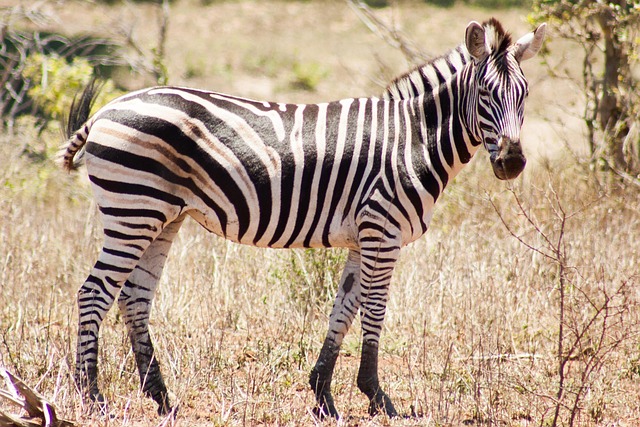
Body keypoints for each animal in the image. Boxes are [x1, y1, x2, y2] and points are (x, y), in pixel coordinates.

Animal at [61, 18, 546, 418]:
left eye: (524, 95)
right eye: (485, 95)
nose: (512, 162)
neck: (413, 139)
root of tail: (107, 109)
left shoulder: (362, 238)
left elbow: (342, 311)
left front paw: (323, 395)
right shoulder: (382, 231)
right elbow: (374, 312)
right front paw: (376, 397)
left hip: (161, 217)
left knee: (134, 297)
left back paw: (161, 398)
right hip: (133, 210)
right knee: (94, 293)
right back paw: (93, 398)